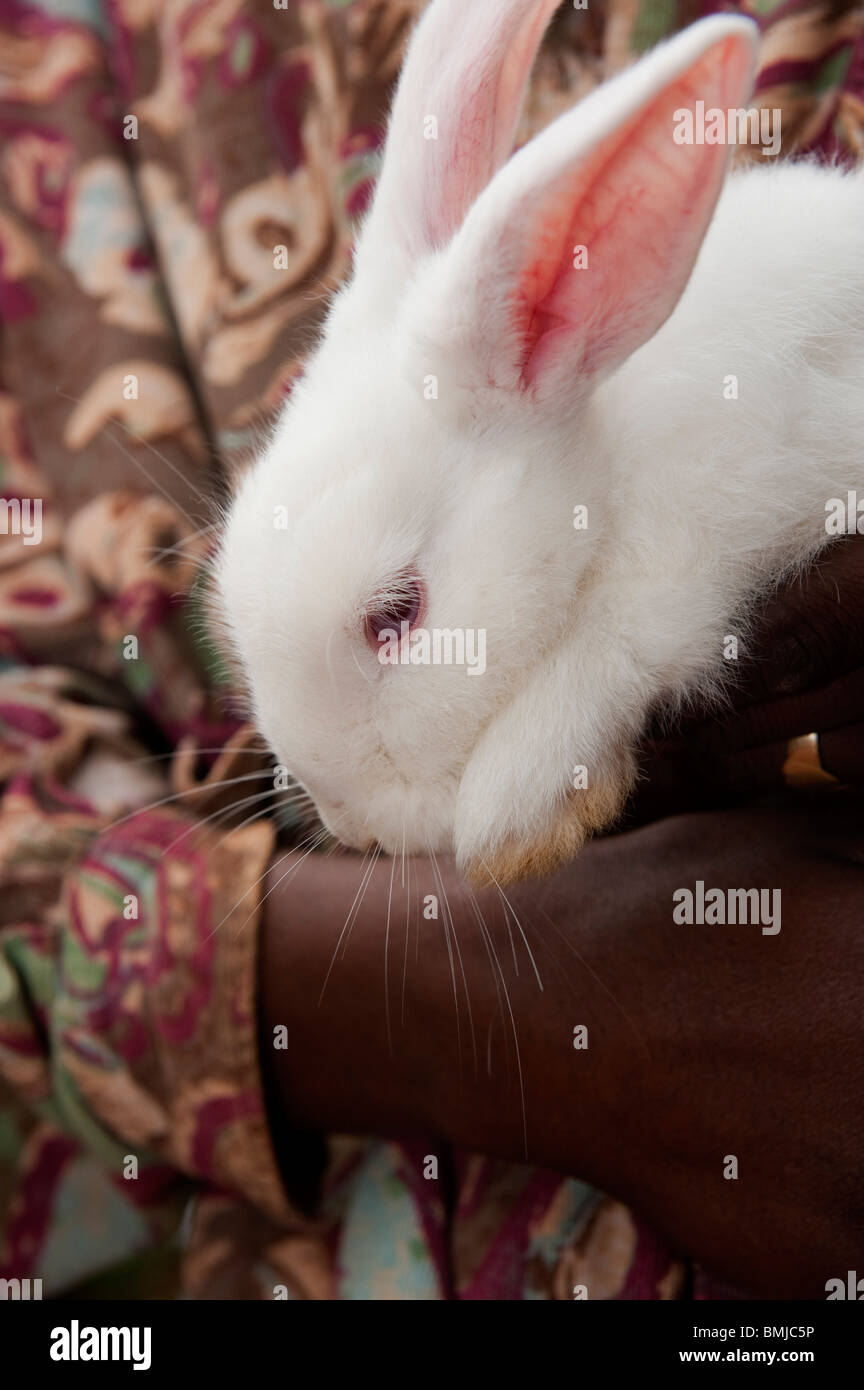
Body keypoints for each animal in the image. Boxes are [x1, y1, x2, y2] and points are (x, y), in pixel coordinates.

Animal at [215, 0, 864, 888]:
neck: (608, 467)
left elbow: (630, 635)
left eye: (397, 614)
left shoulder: (722, 518)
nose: (348, 822)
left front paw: (516, 808)